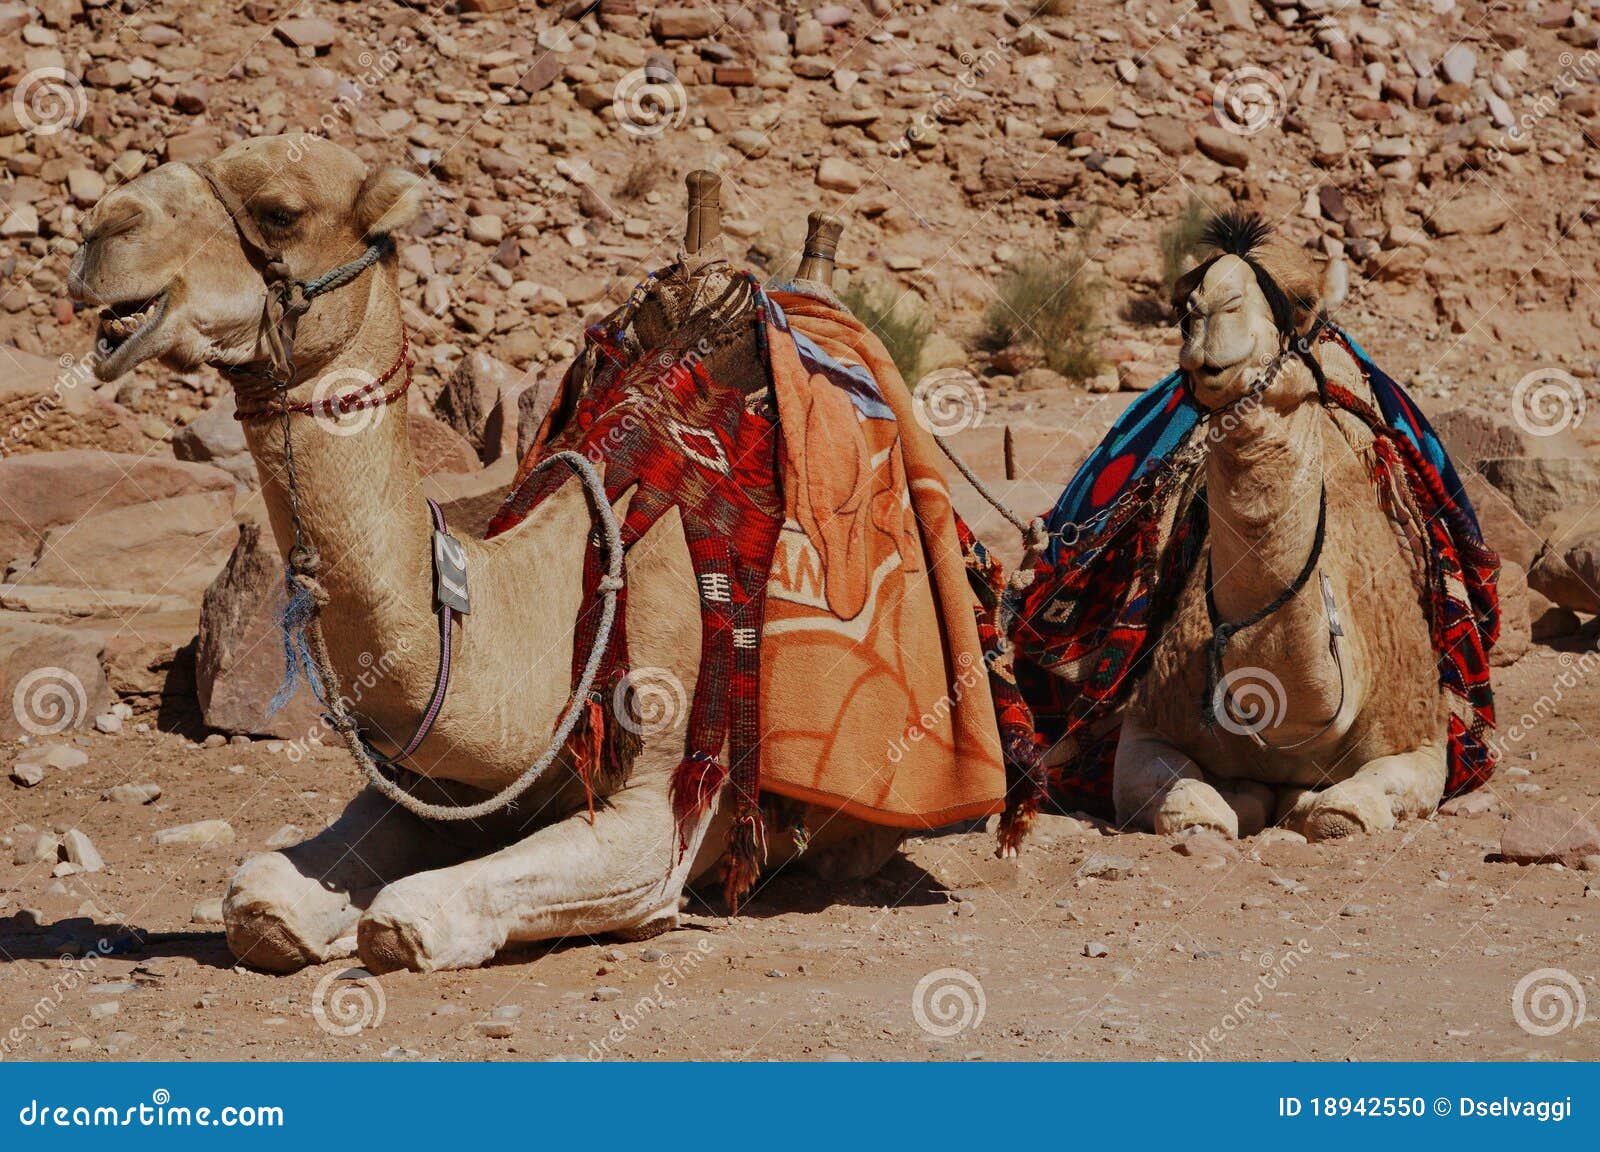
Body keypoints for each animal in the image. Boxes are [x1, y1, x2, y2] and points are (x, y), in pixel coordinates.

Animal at [67, 136, 905, 974]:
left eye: (280, 211)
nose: (103, 229)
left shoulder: (666, 794)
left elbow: (408, 912)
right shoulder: (433, 786)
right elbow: (260, 896)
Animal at [1110, 216, 1451, 841]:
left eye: (1302, 302)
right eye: (1183, 301)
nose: (1209, 309)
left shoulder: (1419, 729)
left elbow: (1341, 812)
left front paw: (1305, 807)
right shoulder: (1146, 722)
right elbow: (1199, 809)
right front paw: (1238, 802)